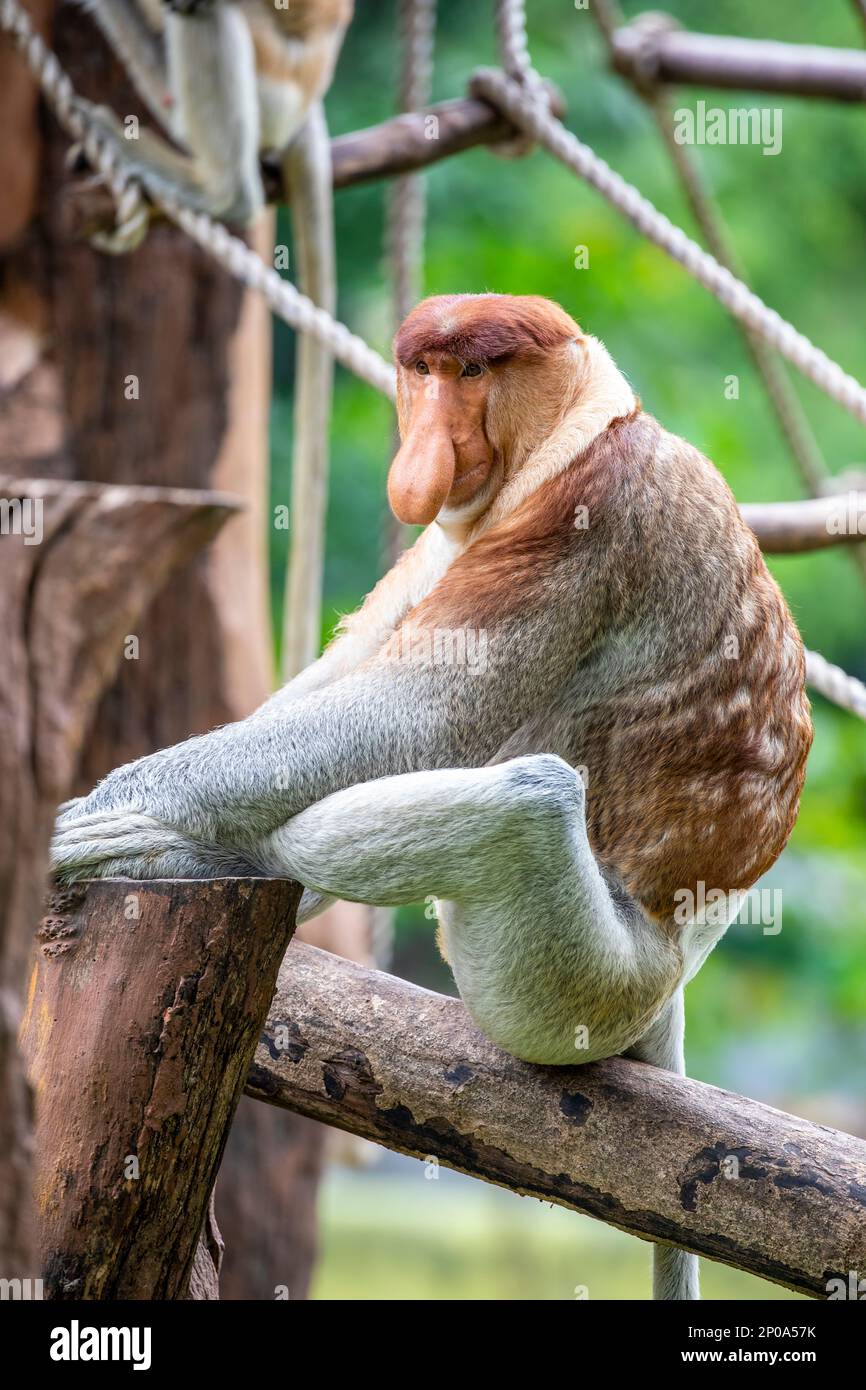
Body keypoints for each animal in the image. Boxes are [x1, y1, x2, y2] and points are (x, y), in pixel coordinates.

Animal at [52, 293, 814, 1299]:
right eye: (423, 371)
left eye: (473, 373)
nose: (426, 446)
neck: (581, 426)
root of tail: (671, 973)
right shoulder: (458, 533)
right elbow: (348, 673)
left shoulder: (588, 514)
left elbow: (422, 714)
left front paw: (94, 819)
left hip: (579, 987)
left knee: (517, 799)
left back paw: (196, 854)